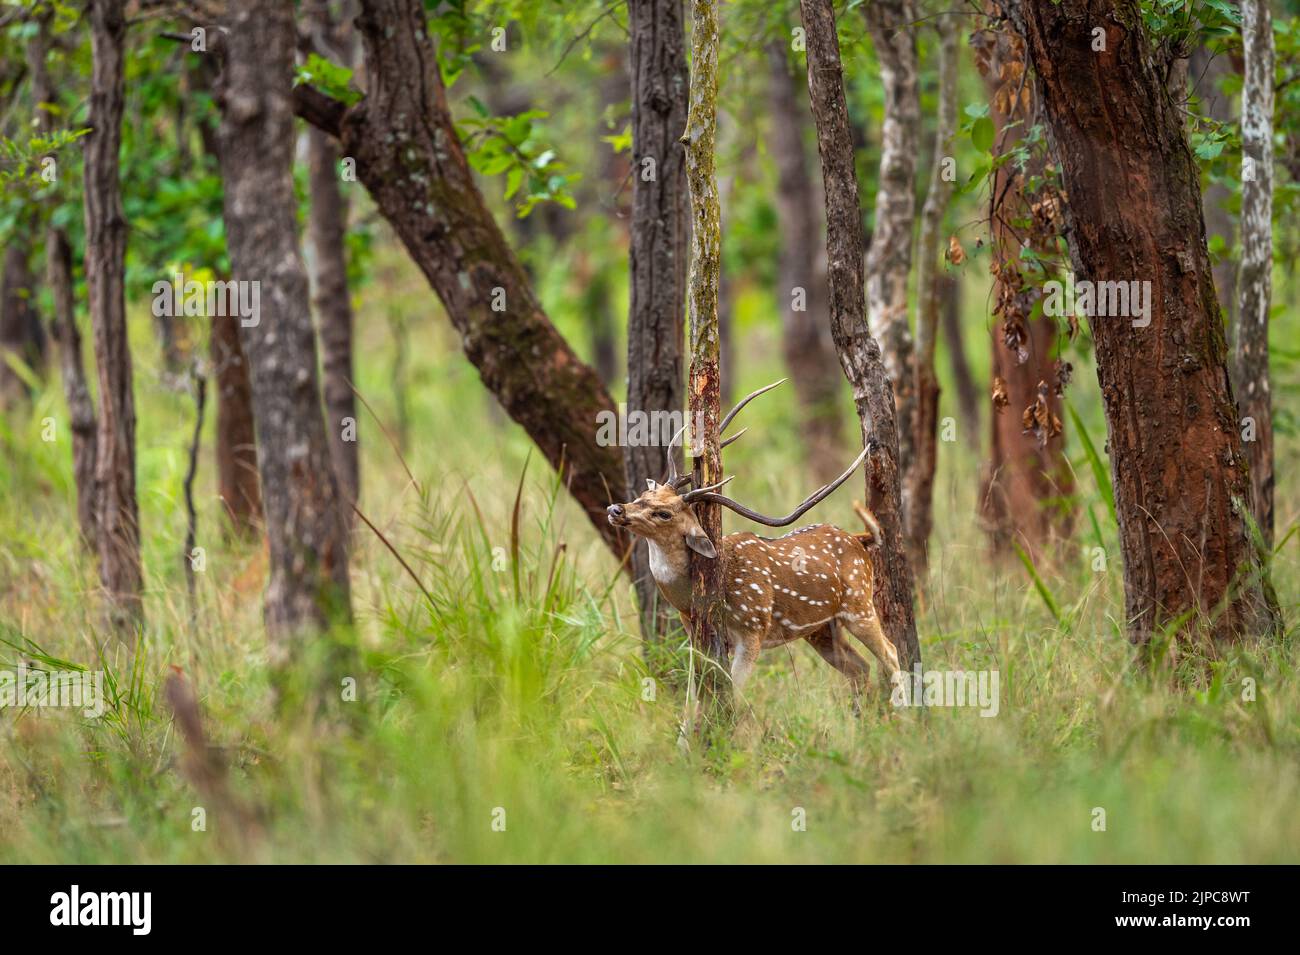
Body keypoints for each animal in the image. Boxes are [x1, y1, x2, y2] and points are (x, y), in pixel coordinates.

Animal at [607, 380, 901, 702]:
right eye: (642, 496)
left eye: (664, 513)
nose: (616, 509)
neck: (689, 603)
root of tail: (860, 539)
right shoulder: (697, 634)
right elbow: (695, 692)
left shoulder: (753, 629)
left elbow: (734, 693)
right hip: (821, 627)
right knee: (859, 667)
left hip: (859, 604)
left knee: (890, 652)